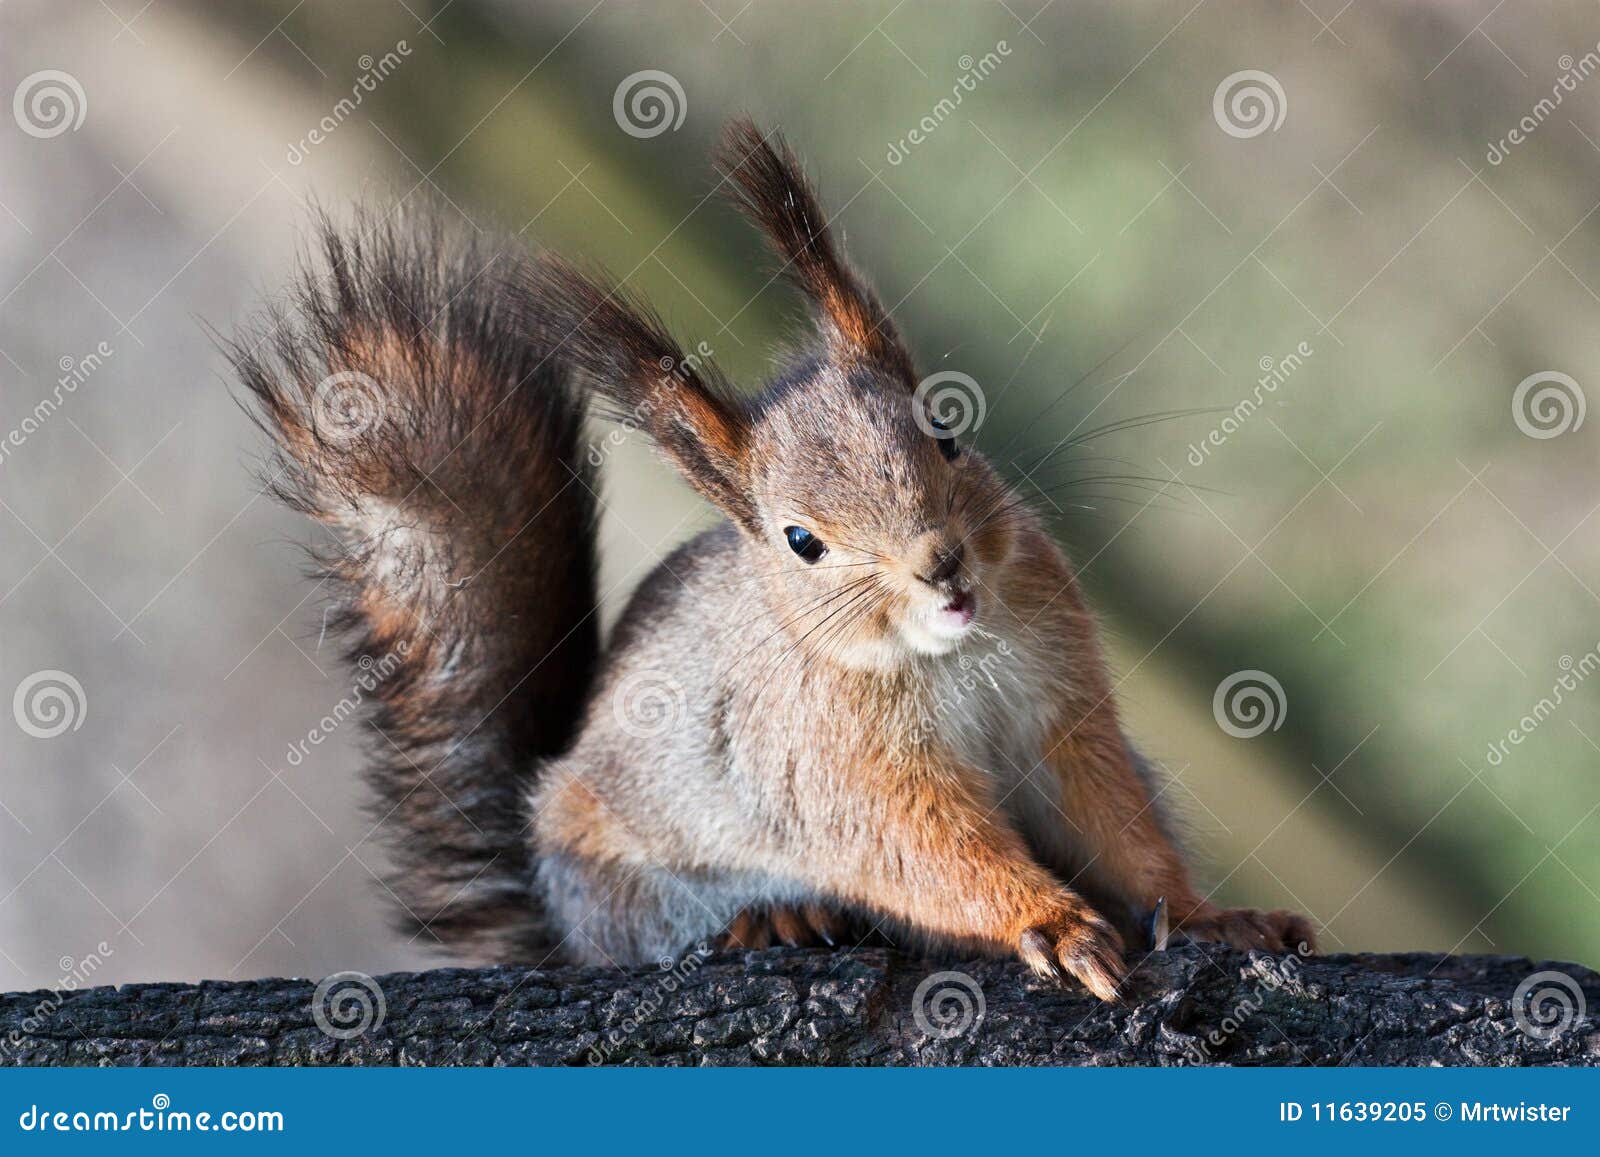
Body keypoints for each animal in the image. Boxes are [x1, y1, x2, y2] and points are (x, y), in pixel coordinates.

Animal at [231, 118, 1314, 1001]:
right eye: (802, 541)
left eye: (947, 428)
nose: (940, 564)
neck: (948, 656)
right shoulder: (836, 772)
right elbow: (931, 854)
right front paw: (1048, 921)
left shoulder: (1063, 708)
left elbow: (1115, 823)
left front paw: (1210, 916)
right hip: (637, 879)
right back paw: (773, 915)